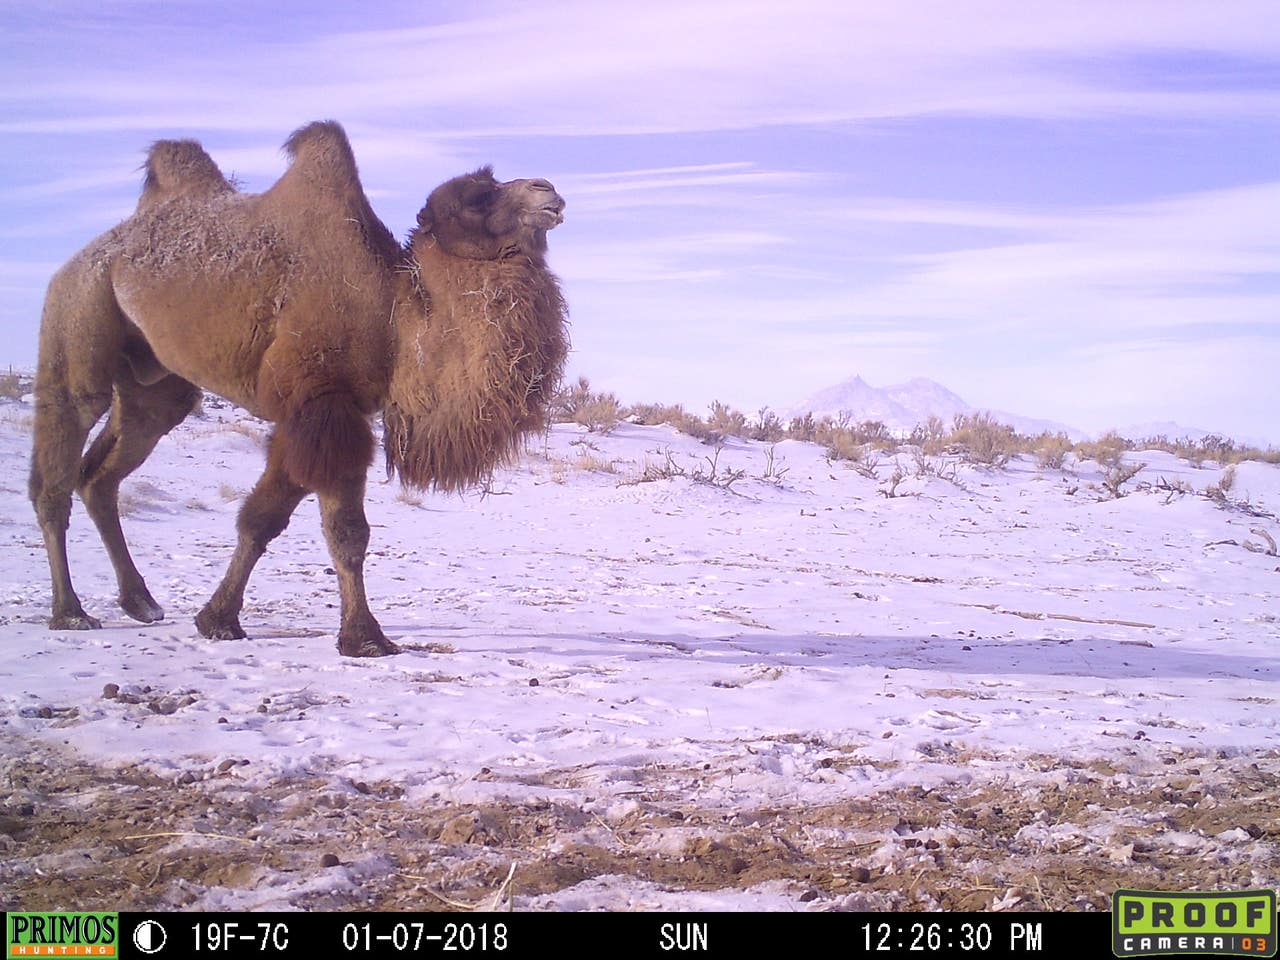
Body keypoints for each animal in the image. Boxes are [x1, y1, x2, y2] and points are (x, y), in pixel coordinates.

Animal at [29, 120, 568, 656]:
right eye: (478, 197)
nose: (548, 190)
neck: (396, 314)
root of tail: (87, 255)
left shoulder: (316, 414)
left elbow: (262, 518)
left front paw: (217, 620)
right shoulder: (322, 403)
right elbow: (346, 532)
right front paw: (365, 638)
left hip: (155, 383)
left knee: (103, 470)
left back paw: (141, 602)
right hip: (80, 305)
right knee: (62, 450)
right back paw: (70, 612)